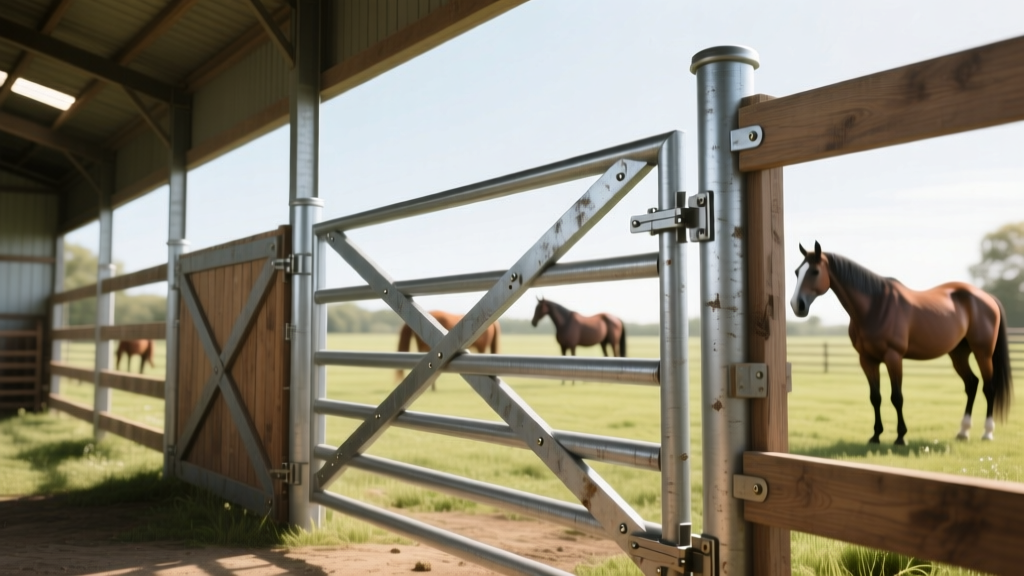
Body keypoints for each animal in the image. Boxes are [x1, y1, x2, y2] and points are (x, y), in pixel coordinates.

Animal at [790, 241, 1013, 445]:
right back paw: (963, 432)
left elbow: (896, 397)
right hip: (958, 354)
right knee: (971, 384)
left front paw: (900, 437)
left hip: (983, 353)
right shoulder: (867, 360)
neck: (875, 307)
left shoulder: (893, 357)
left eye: (815, 271)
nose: (796, 305)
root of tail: (986, 297)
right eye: (796, 272)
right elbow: (875, 397)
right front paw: (876, 435)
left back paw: (987, 433)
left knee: (988, 387)